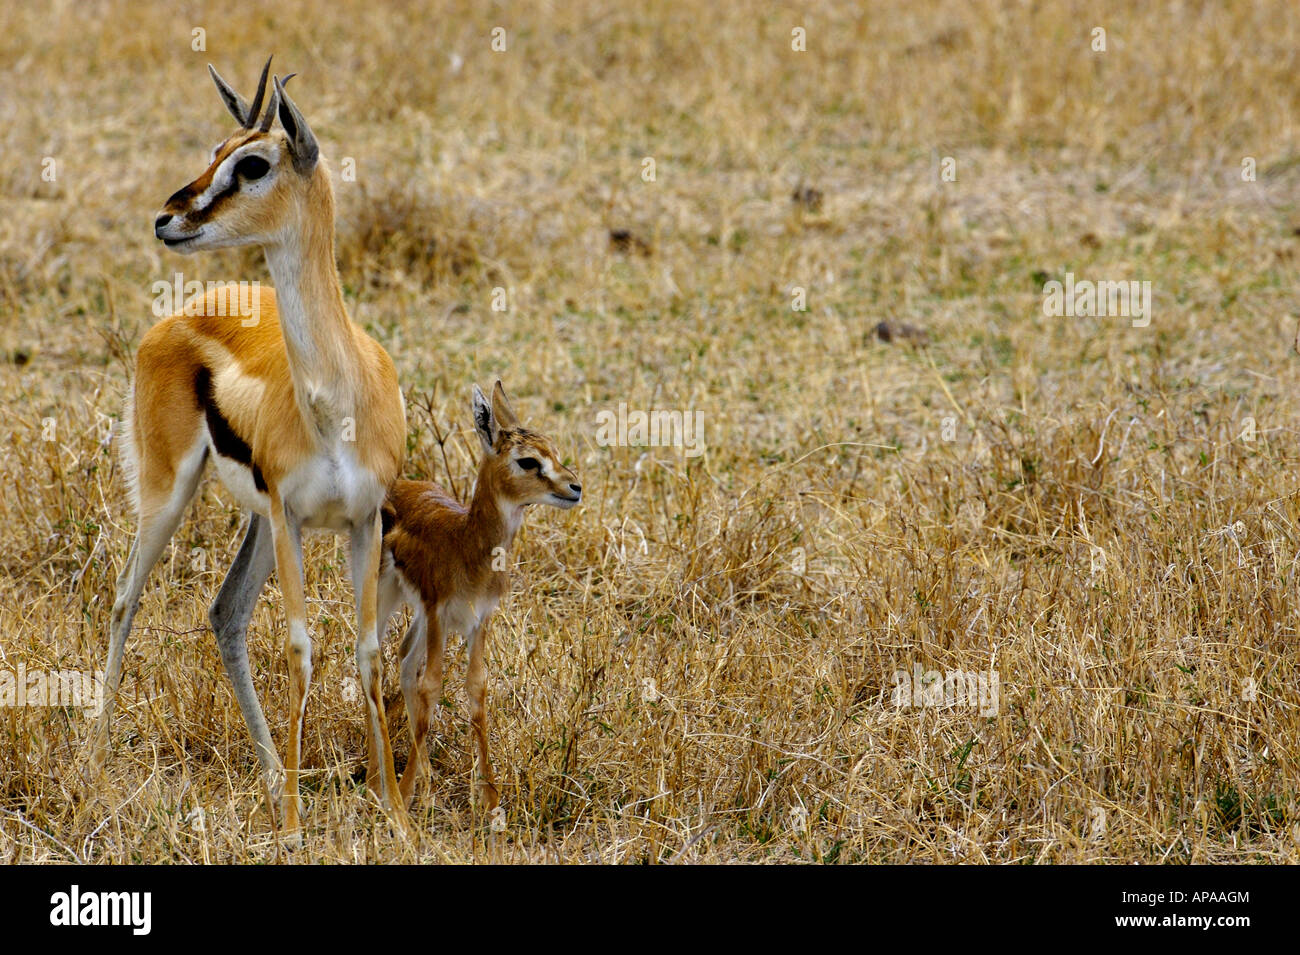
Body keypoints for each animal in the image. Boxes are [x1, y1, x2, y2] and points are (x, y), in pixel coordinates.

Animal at [87, 58, 410, 835]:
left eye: (253, 163)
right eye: (215, 151)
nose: (167, 218)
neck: (335, 403)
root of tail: (178, 315)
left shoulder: (362, 521)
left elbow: (367, 653)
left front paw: (395, 814)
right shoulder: (295, 518)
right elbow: (299, 649)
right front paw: (293, 825)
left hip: (261, 523)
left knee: (225, 614)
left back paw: (266, 775)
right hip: (172, 495)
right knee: (124, 598)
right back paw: (95, 756)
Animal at [378, 381, 581, 810]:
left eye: (554, 450)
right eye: (528, 461)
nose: (575, 488)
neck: (467, 545)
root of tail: (400, 485)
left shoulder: (478, 620)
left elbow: (476, 689)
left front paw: (490, 797)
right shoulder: (439, 614)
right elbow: (432, 685)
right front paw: (402, 795)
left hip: (417, 613)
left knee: (404, 659)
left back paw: (425, 775)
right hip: (386, 596)